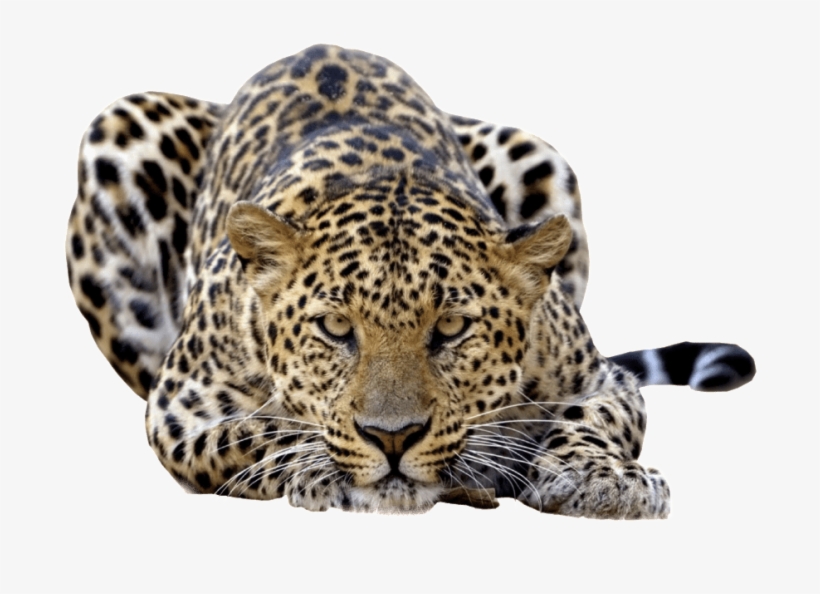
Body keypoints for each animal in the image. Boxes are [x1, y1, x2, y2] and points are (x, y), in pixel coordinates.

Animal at [66, 45, 756, 517]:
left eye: (450, 328)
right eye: (334, 328)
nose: (392, 439)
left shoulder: (601, 379)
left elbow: (592, 418)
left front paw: (604, 479)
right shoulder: (179, 407)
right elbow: (259, 432)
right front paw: (325, 467)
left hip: (536, 152)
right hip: (119, 131)